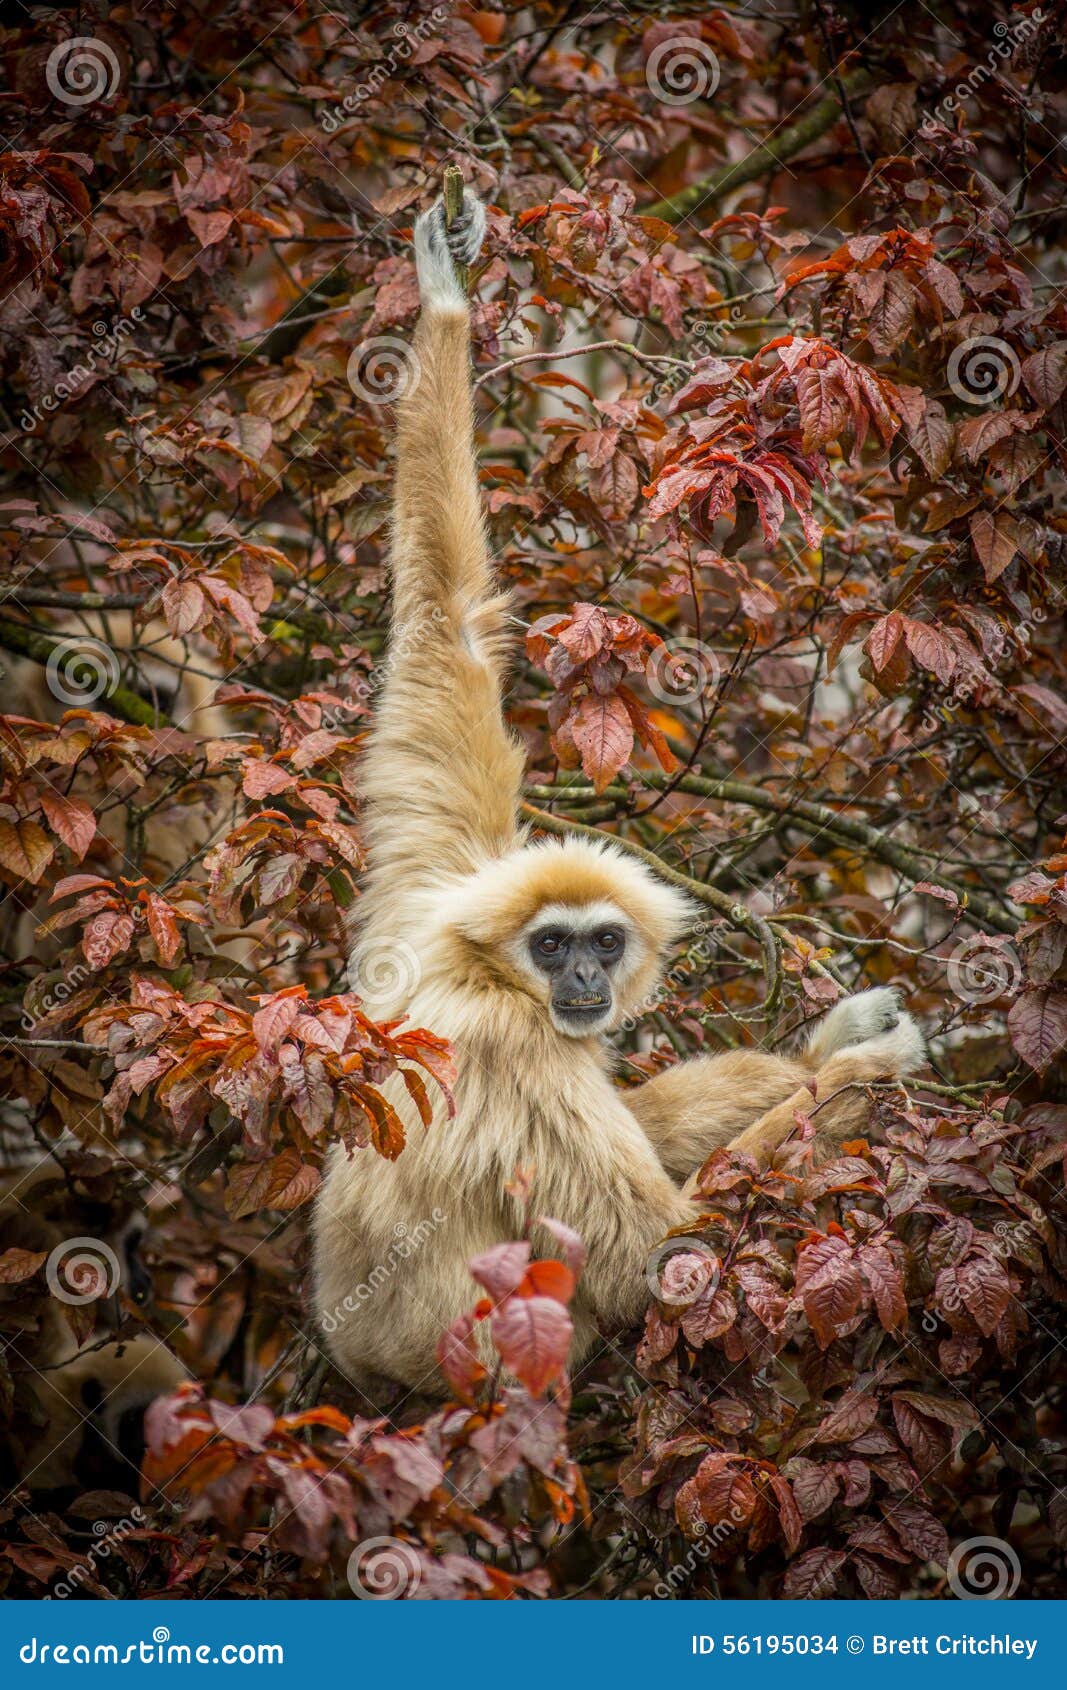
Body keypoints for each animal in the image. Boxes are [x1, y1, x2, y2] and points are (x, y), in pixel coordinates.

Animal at [310, 186, 925, 1401]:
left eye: (598, 940)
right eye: (550, 946)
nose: (585, 977)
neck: (477, 966)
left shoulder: (427, 895)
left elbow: (442, 633)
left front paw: (444, 303)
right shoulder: (516, 1051)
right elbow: (664, 1256)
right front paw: (868, 1067)